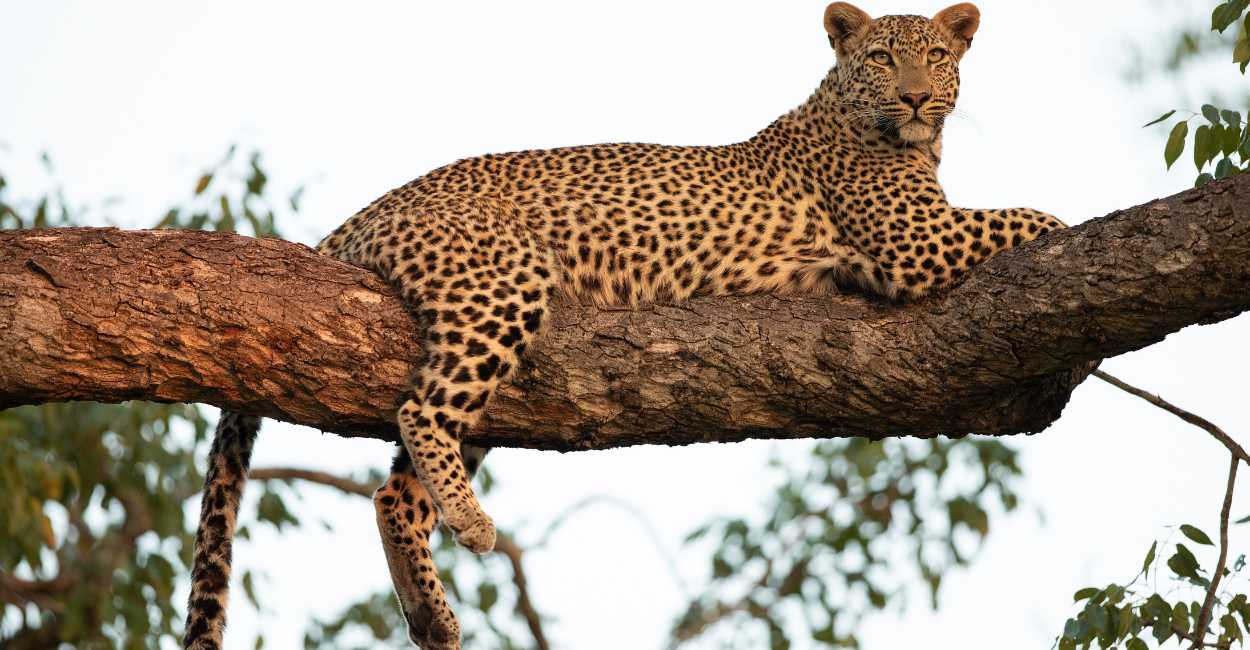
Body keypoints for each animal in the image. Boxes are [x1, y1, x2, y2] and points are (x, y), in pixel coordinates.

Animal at [182, 3, 1064, 649]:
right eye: (882, 57)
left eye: (937, 56)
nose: (916, 96)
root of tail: (369, 210)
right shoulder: (917, 242)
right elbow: (1035, 215)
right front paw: (1067, 226)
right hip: (504, 284)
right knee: (420, 413)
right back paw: (471, 524)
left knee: (395, 490)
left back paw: (433, 613)